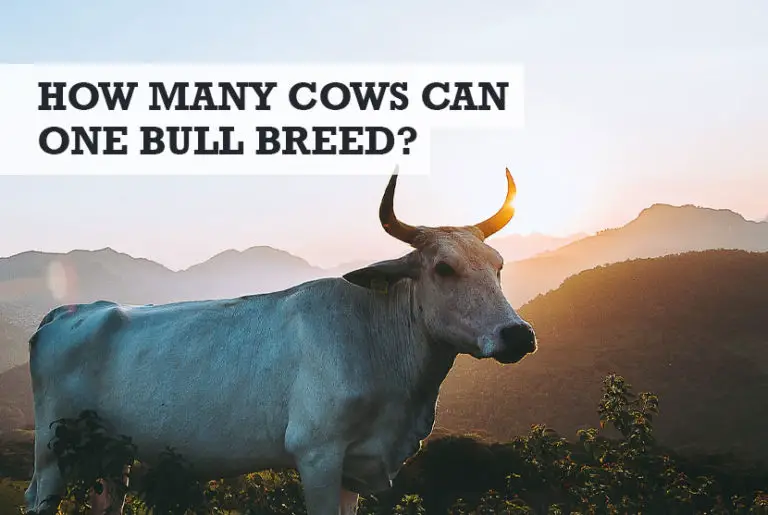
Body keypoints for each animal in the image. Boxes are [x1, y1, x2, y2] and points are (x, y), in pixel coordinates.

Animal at [25, 167, 537, 515]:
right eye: (443, 268)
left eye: (498, 265)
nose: (518, 334)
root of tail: (73, 311)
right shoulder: (317, 454)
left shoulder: (354, 468)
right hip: (51, 452)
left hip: (114, 455)